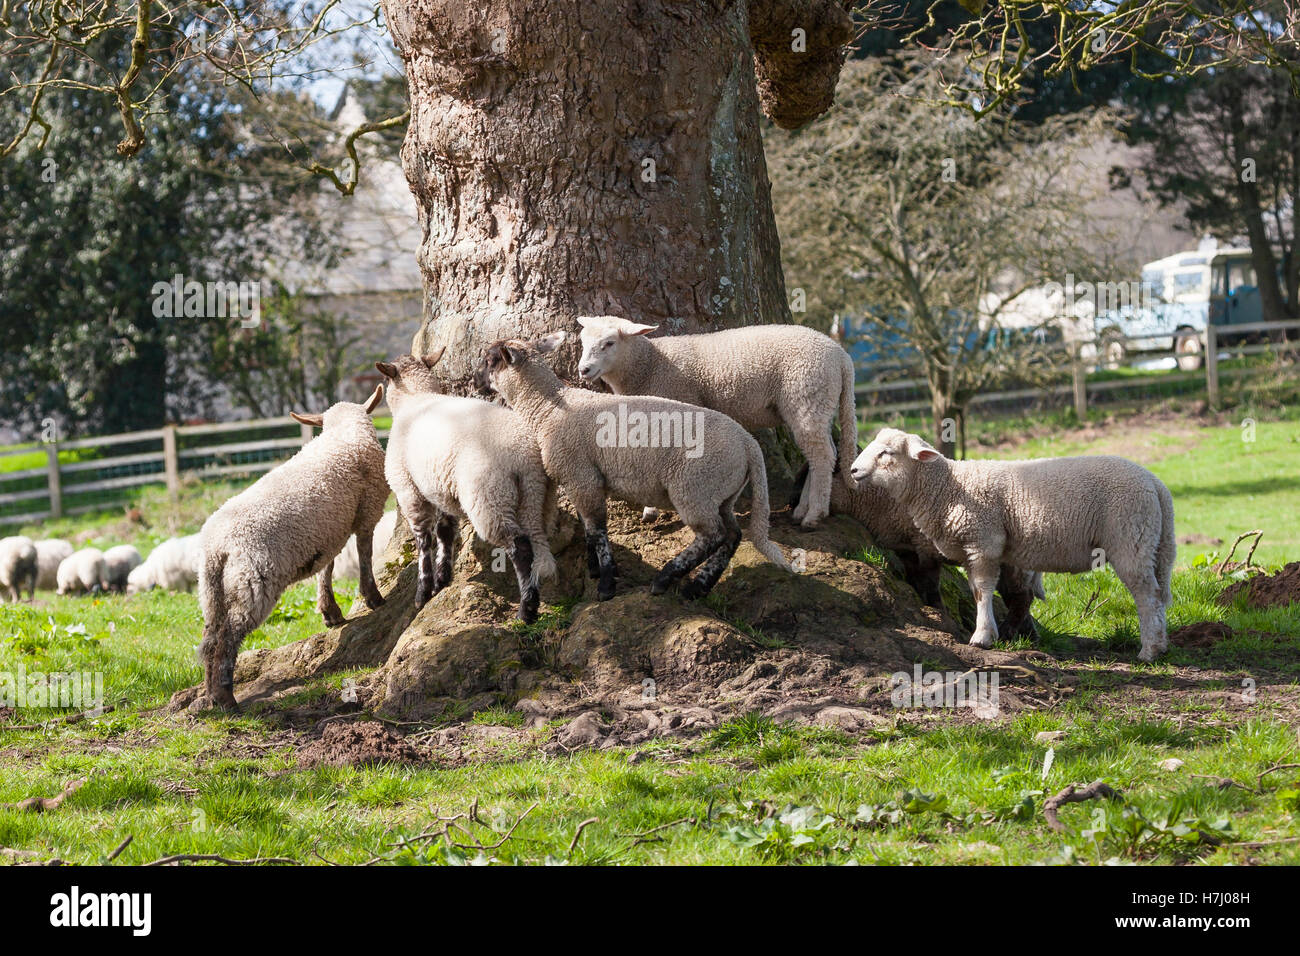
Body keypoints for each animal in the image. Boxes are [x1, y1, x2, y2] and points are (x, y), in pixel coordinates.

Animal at [194, 386, 389, 712]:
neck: (344, 432)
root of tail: (216, 548)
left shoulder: (327, 531)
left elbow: (327, 566)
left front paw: (330, 612)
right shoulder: (367, 509)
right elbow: (365, 552)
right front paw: (373, 596)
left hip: (212, 592)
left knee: (209, 640)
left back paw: (210, 695)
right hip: (254, 583)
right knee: (227, 638)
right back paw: (226, 698)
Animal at [375, 352, 556, 623]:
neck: (414, 398)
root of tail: (524, 455)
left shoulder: (409, 490)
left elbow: (423, 541)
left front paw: (423, 592)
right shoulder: (440, 489)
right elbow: (445, 532)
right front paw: (441, 580)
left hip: (490, 496)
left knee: (520, 546)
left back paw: (525, 611)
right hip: (535, 496)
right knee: (536, 541)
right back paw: (531, 602)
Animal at [474, 333, 790, 602]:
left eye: (489, 360)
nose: (475, 382)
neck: (548, 409)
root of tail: (748, 444)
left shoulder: (580, 475)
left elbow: (598, 530)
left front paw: (606, 584)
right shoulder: (583, 478)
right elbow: (588, 527)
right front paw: (595, 568)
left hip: (695, 486)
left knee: (713, 536)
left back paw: (666, 578)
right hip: (721, 492)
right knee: (732, 536)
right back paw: (699, 586)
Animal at [574, 316, 857, 529]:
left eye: (609, 343)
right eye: (583, 342)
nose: (583, 370)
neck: (649, 366)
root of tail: (842, 357)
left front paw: (653, 509)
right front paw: (650, 510)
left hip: (807, 394)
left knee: (822, 456)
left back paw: (814, 515)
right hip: (815, 403)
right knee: (823, 453)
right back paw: (802, 509)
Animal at [850, 428, 1175, 661]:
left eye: (887, 452)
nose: (852, 470)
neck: (948, 487)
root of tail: (1155, 484)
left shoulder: (983, 541)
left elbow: (982, 590)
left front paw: (982, 636)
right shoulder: (975, 549)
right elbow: (978, 590)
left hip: (1130, 538)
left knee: (1147, 596)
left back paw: (1149, 651)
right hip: (1156, 544)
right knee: (1160, 593)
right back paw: (1161, 644)